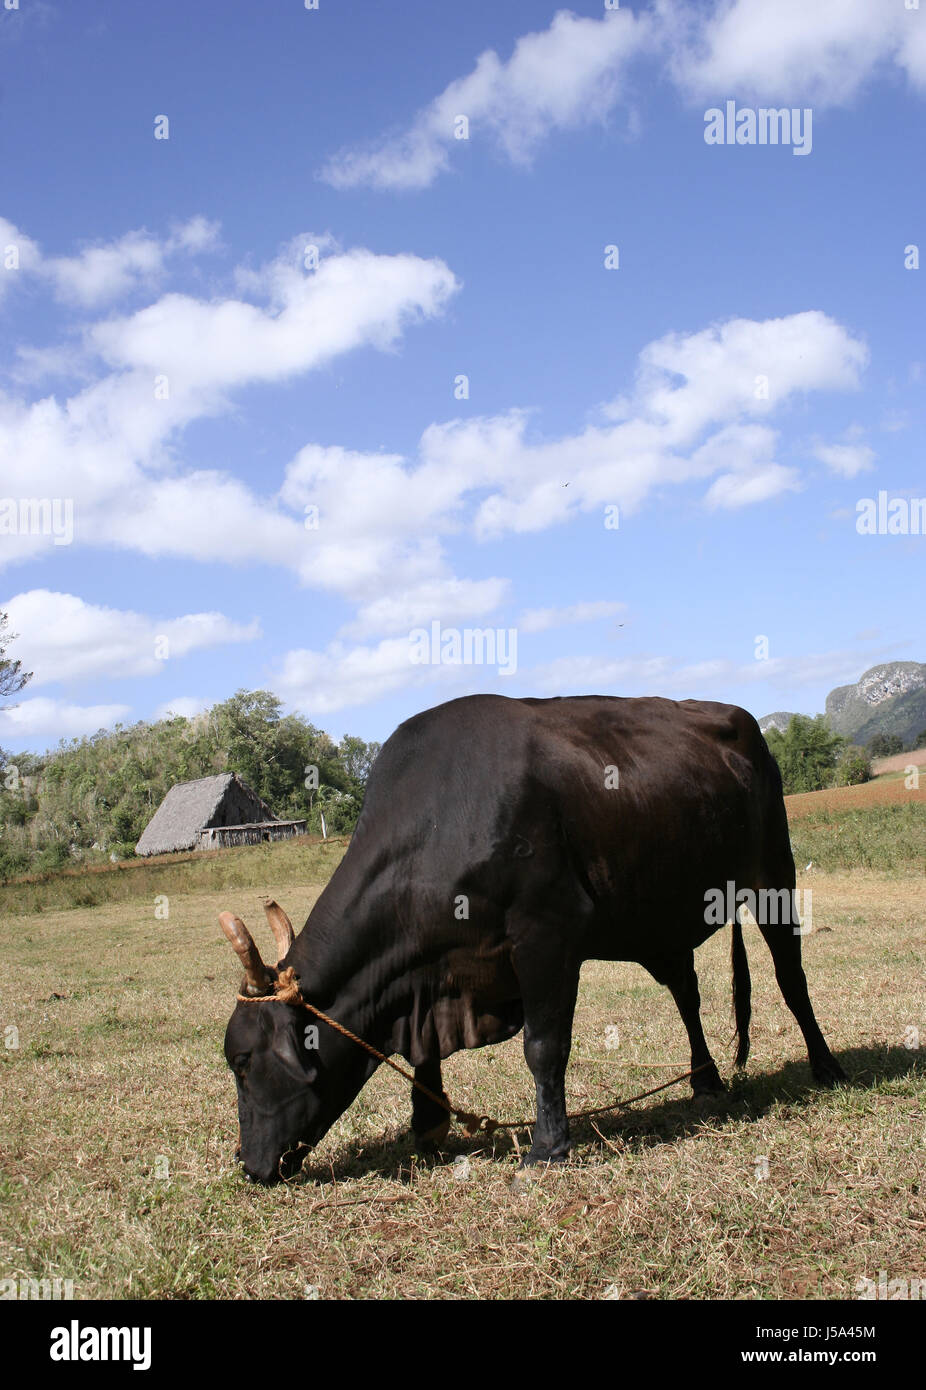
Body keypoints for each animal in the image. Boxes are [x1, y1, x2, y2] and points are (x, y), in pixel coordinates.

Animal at [219, 693, 846, 1183]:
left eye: (244, 1062)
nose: (248, 1167)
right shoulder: (435, 974)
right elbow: (426, 1054)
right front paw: (429, 1125)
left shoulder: (545, 934)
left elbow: (544, 1047)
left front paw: (548, 1145)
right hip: (658, 922)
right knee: (687, 997)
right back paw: (706, 1081)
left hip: (774, 876)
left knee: (791, 977)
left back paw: (826, 1067)